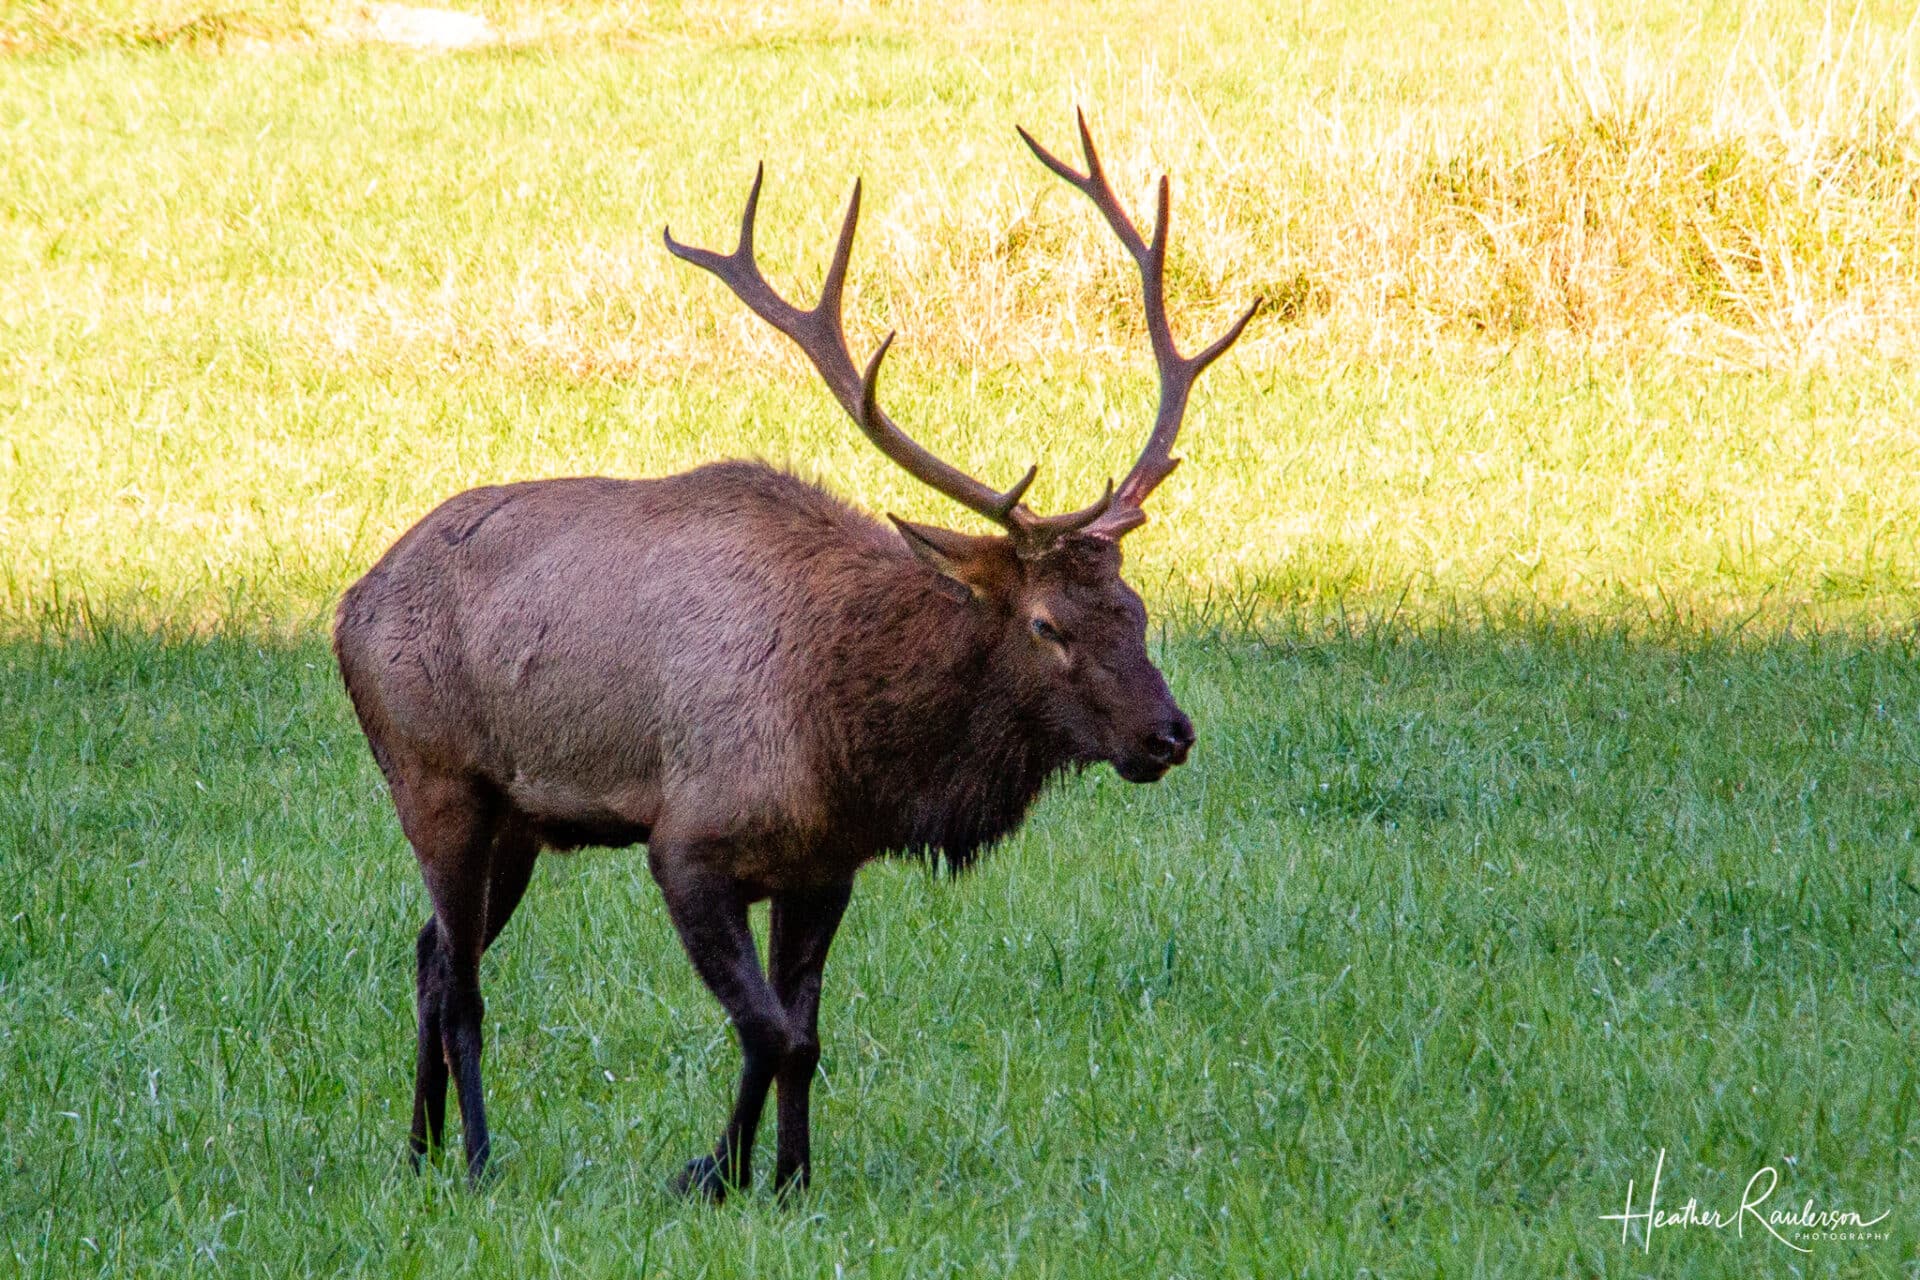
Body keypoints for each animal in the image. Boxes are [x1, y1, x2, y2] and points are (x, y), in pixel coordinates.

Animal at [332, 111, 1258, 1200]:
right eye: (1045, 625)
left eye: (1136, 608)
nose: (1169, 733)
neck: (854, 743)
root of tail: (350, 605)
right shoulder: (688, 843)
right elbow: (766, 1030)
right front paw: (710, 1169)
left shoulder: (824, 865)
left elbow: (804, 1037)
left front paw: (789, 1178)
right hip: (435, 777)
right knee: (464, 978)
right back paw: (475, 1156)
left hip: (517, 818)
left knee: (432, 953)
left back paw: (418, 1147)